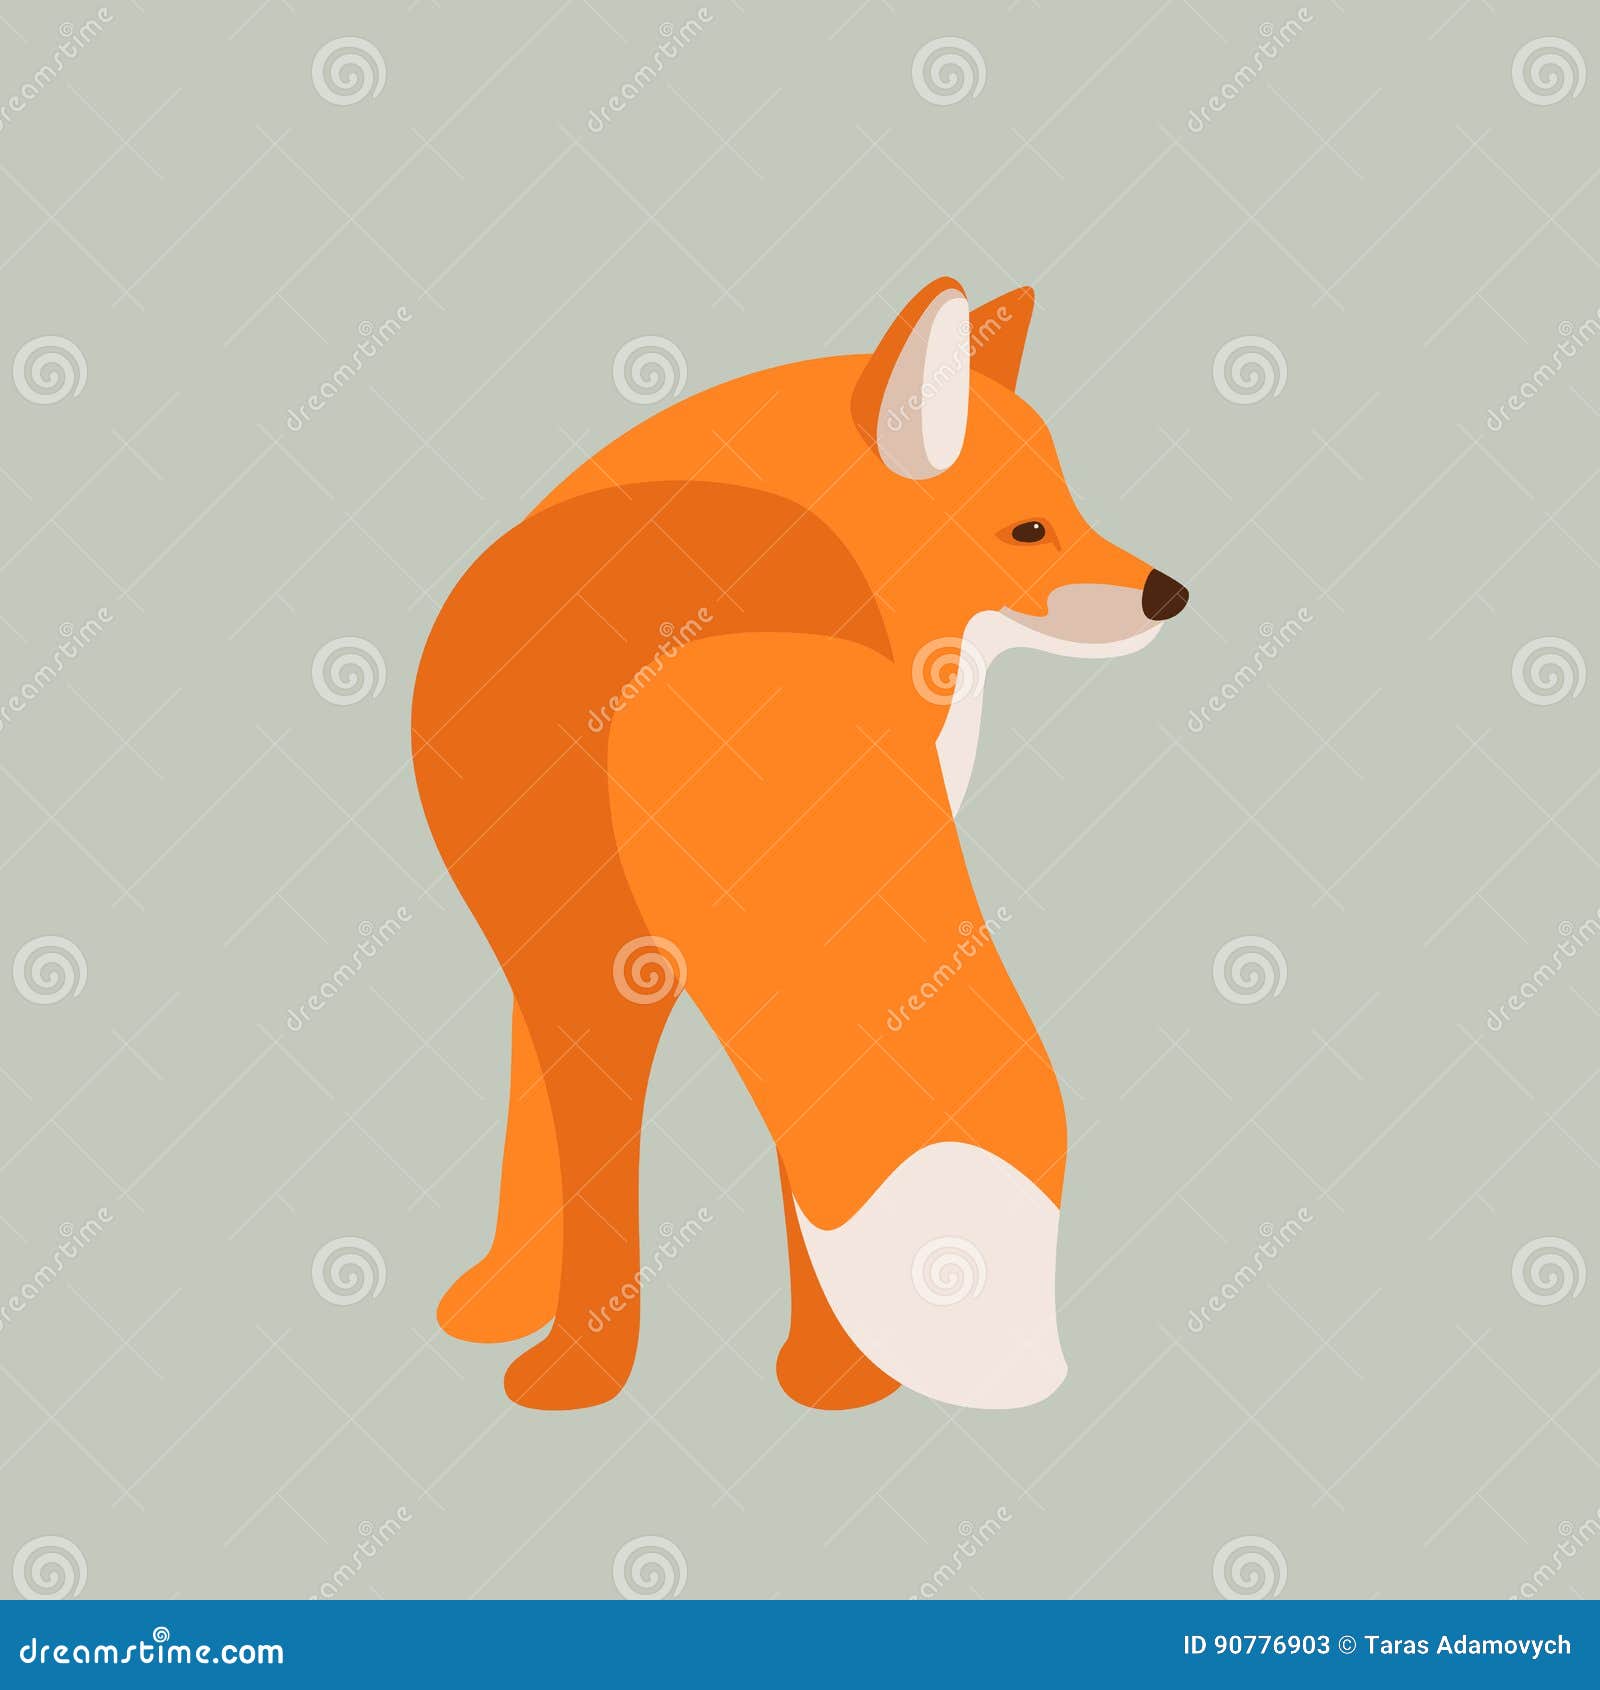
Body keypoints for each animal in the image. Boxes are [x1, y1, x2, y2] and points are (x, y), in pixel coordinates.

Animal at [411, 277, 1189, 1413]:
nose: (1166, 593)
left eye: (1071, 506)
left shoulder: (560, 945)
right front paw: (504, 1307)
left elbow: (555, 1140)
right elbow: (545, 1142)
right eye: (1031, 527)